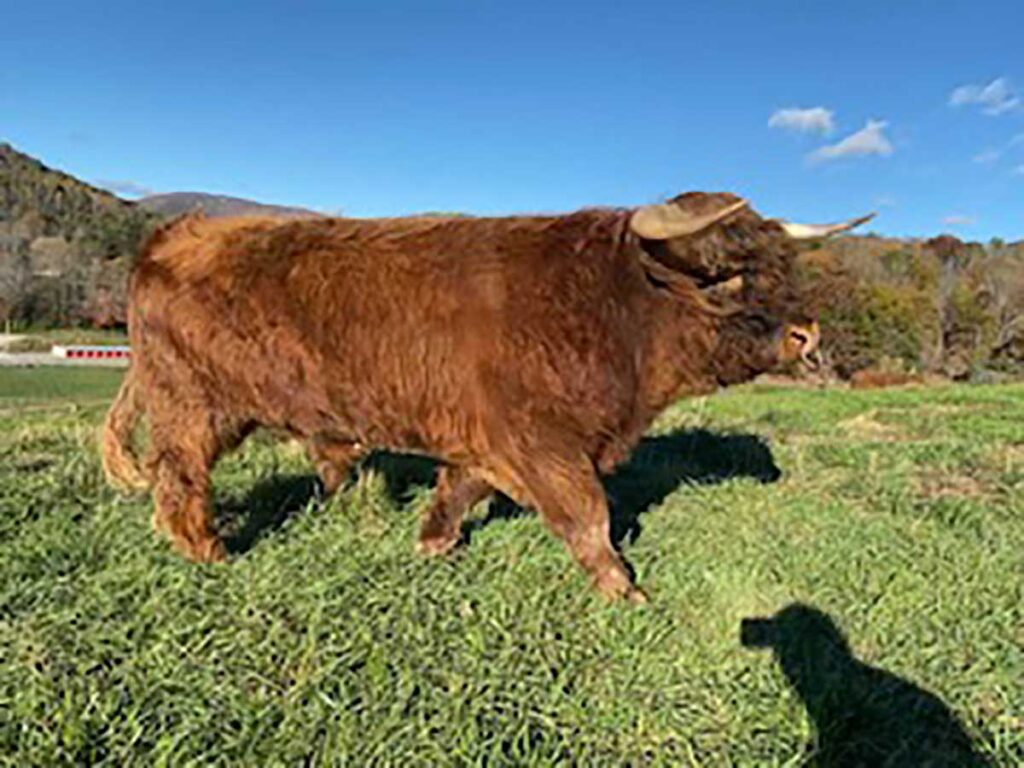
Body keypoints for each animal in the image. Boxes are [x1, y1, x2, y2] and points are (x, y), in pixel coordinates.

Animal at [102, 192, 871, 601]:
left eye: (783, 264)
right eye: (726, 276)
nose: (806, 334)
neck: (612, 308)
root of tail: (174, 234)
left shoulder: (488, 438)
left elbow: (459, 491)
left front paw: (432, 544)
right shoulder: (543, 442)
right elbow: (588, 515)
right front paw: (624, 588)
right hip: (192, 404)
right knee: (179, 476)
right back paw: (207, 552)